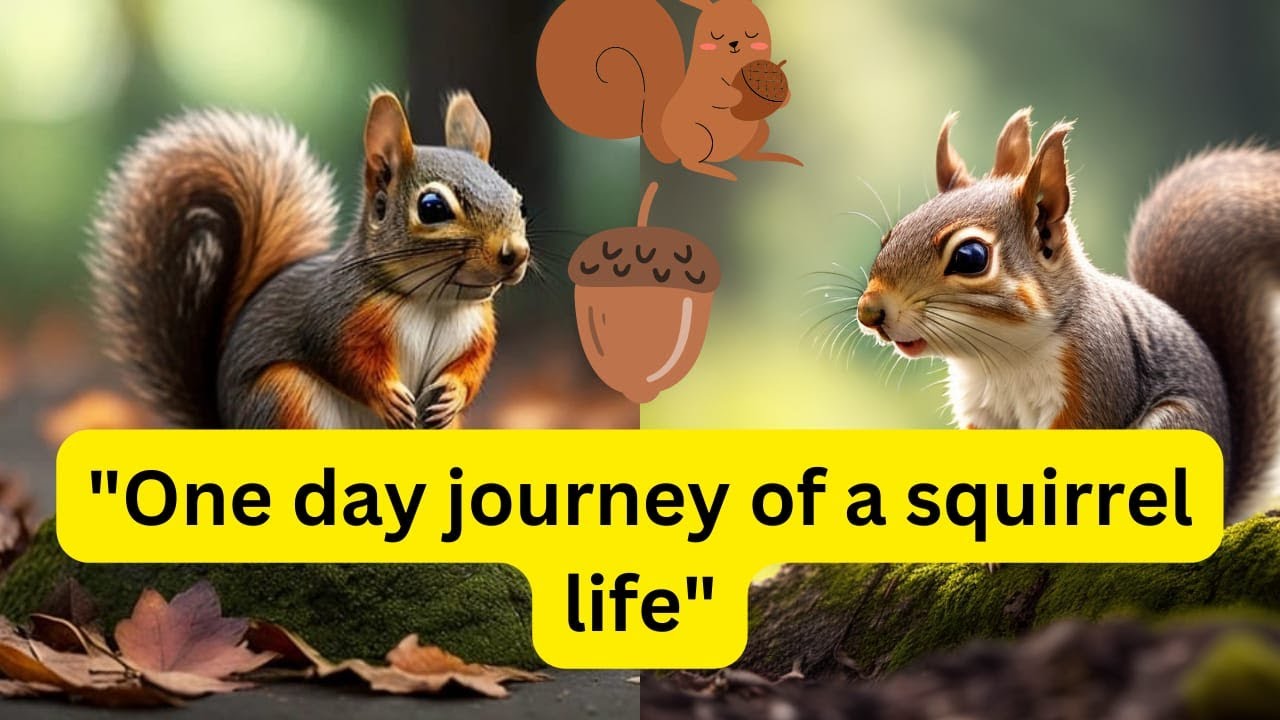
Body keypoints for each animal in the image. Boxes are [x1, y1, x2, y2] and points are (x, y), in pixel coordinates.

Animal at [89, 91, 530, 429]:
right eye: (432, 207)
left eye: (518, 199)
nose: (516, 253)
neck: (433, 301)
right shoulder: (334, 316)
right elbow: (345, 361)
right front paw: (387, 397)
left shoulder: (478, 331)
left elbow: (472, 368)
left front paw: (453, 394)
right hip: (285, 396)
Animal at [537, 0, 801, 181]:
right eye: (715, 35)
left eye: (751, 32)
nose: (734, 43)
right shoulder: (706, 84)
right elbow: (717, 93)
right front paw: (738, 93)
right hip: (701, 136)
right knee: (691, 162)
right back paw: (717, 171)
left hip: (759, 130)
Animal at [856, 108, 1279, 521]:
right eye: (891, 235)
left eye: (970, 256)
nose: (869, 312)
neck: (1004, 356)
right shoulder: (983, 409)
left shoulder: (1096, 372)